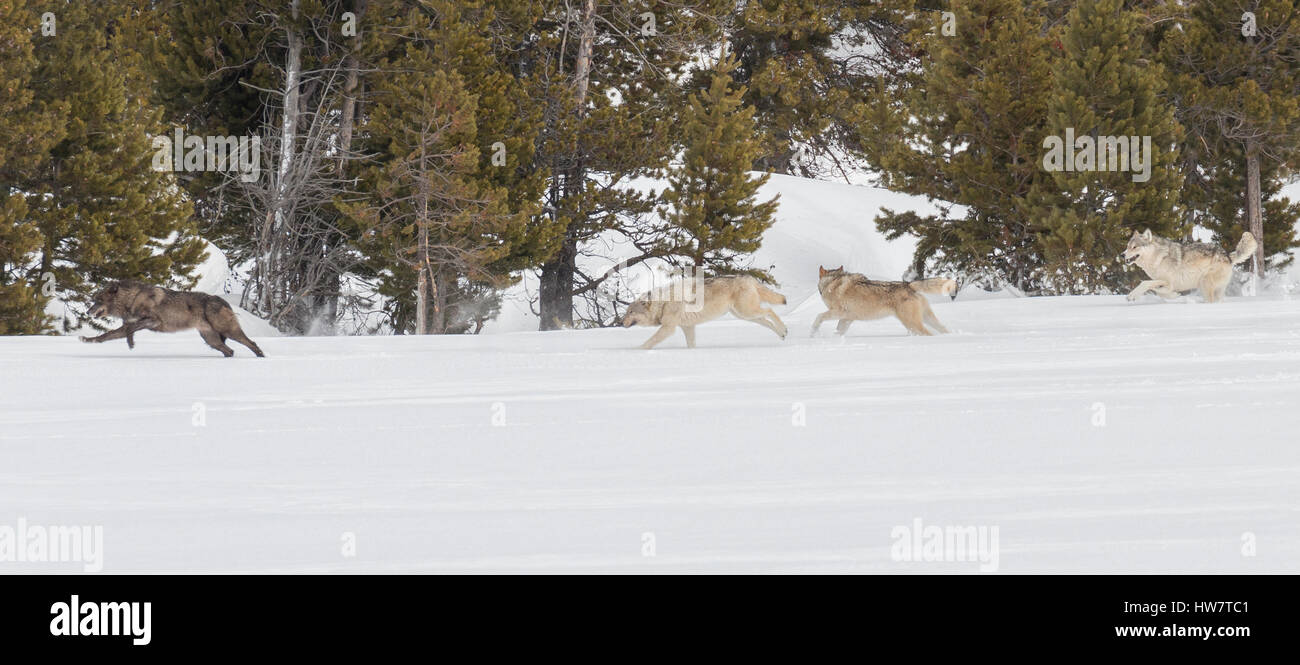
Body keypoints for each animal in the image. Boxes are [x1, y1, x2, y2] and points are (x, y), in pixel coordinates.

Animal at [79, 280, 265, 357]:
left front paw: (131, 343)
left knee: (252, 343)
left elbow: (130, 330)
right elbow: (105, 336)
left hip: (228, 331)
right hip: (211, 339)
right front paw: (87, 340)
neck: (132, 299)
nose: (87, 312)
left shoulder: (153, 320)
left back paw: (261, 357)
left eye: (98, 301)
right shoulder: (128, 325)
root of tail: (223, 301)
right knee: (229, 351)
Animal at [621, 275, 788, 349]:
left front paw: (636, 351)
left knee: (770, 310)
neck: (664, 303)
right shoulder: (688, 327)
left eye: (631, 312)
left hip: (747, 312)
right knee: (767, 321)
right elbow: (691, 344)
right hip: (746, 316)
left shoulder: (668, 328)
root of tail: (748, 277)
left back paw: (784, 330)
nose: (621, 323)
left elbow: (649, 342)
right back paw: (782, 334)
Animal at [812, 266, 950, 336]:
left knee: (928, 333)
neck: (832, 282)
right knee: (943, 329)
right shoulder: (847, 319)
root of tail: (909, 284)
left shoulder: (839, 312)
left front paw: (812, 334)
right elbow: (838, 331)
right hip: (926, 319)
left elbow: (818, 317)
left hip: (912, 324)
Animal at [1123, 229, 1256, 303]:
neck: (1159, 258)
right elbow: (1159, 291)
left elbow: (1145, 283)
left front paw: (1131, 296)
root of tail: (1227, 255)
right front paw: (1173, 295)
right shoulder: (1164, 283)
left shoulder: (1167, 281)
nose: (1122, 255)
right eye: (1127, 246)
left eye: (1134, 247)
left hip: (1205, 284)